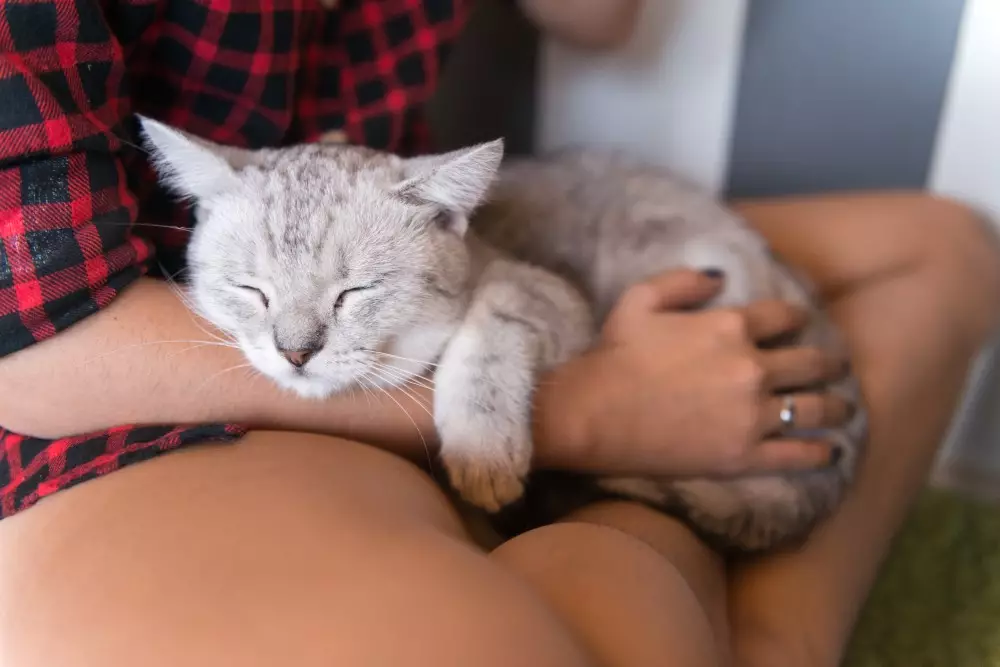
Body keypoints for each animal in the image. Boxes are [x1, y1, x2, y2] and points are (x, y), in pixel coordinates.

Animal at [139, 117, 868, 556]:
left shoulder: (552, 299)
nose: (295, 351)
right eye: (250, 289)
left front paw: (482, 446)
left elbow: (491, 323)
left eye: (355, 292)